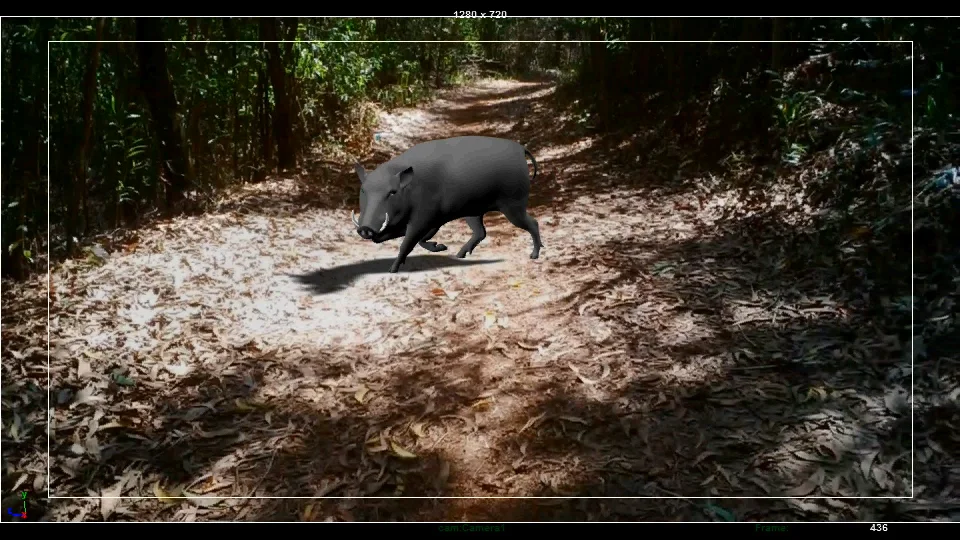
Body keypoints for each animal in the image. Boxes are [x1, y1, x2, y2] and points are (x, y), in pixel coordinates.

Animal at [351, 136, 543, 273]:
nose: (365, 228)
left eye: (392, 192)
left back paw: (534, 255)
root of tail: (521, 149)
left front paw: (392, 269)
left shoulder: (423, 218)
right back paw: (459, 255)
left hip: (513, 205)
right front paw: (441, 247)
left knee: (533, 223)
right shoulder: (432, 220)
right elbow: (420, 239)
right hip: (474, 211)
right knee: (481, 232)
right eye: (363, 191)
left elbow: (407, 243)